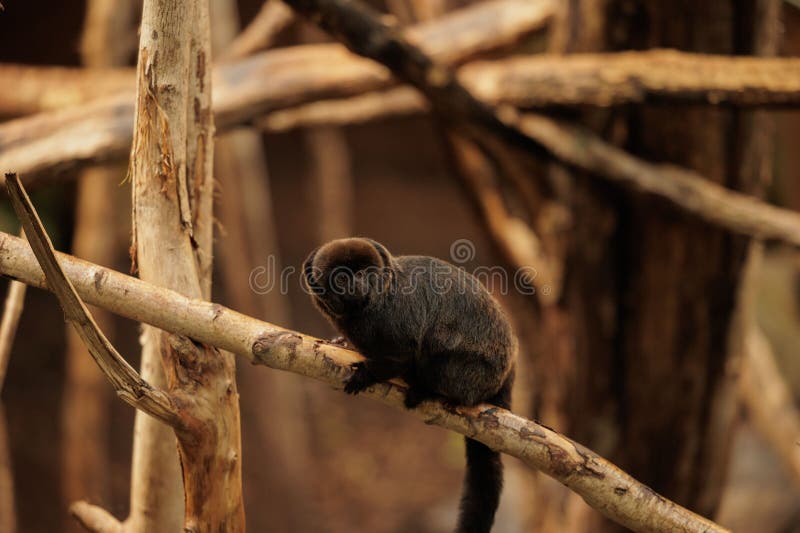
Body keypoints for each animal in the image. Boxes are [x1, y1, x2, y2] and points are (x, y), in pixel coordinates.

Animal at [303, 237, 517, 533]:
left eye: (366, 272)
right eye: (343, 277)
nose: (359, 283)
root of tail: (507, 372)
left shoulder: (394, 315)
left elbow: (403, 352)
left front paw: (365, 375)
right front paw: (342, 343)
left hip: (475, 374)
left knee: (439, 340)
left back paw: (428, 389)